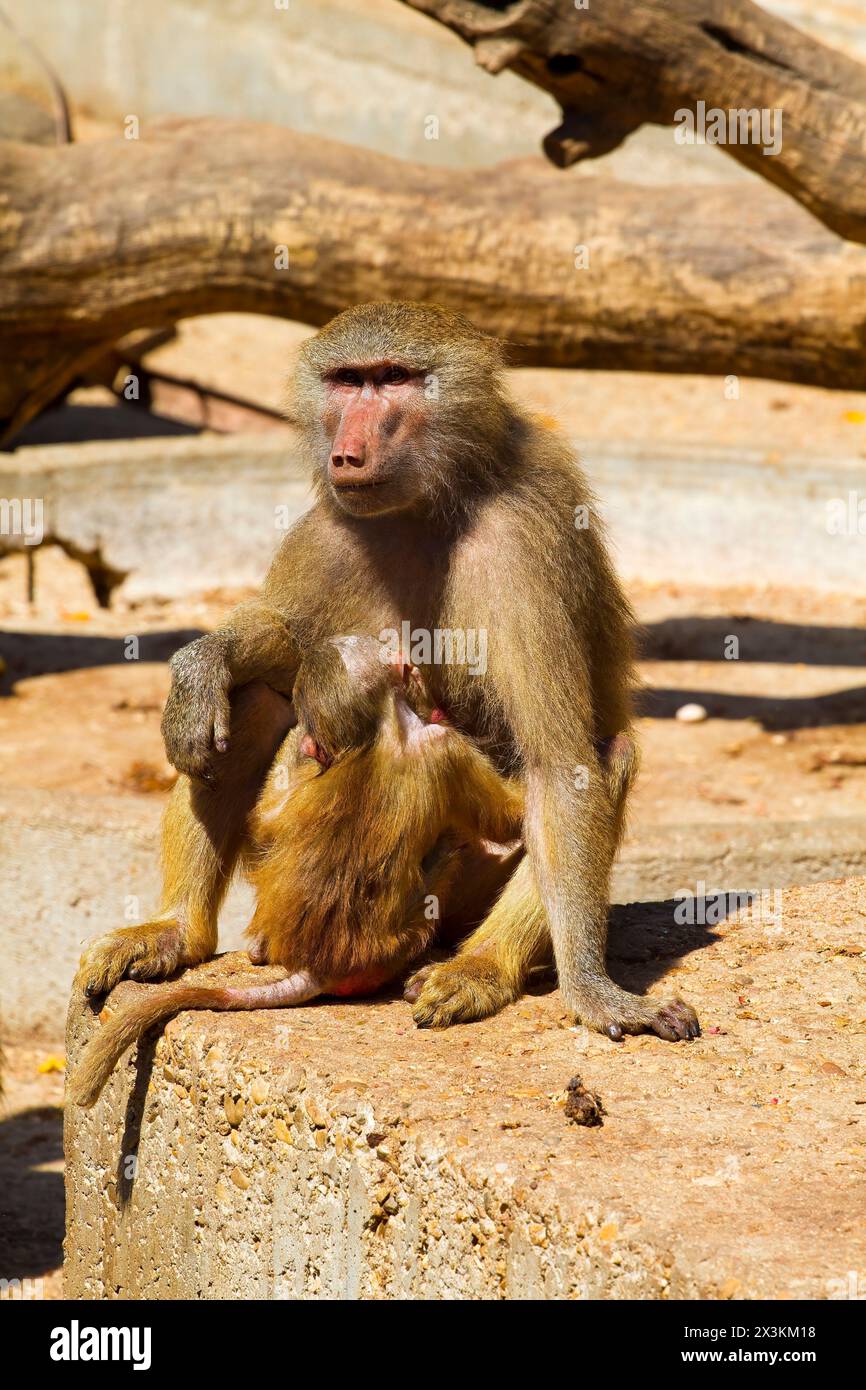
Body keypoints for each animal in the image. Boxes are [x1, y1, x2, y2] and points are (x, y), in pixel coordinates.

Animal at [70, 636, 527, 1108]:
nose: (428, 689)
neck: (375, 736)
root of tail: (319, 964)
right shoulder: (446, 747)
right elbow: (513, 819)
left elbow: (268, 820)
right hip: (403, 942)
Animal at [76, 301, 699, 1044]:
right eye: (348, 380)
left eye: (394, 378)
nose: (347, 453)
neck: (432, 502)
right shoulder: (330, 530)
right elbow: (286, 644)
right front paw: (202, 663)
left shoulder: (521, 540)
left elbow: (560, 766)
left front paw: (598, 995)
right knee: (251, 703)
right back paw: (178, 932)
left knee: (610, 755)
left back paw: (482, 967)